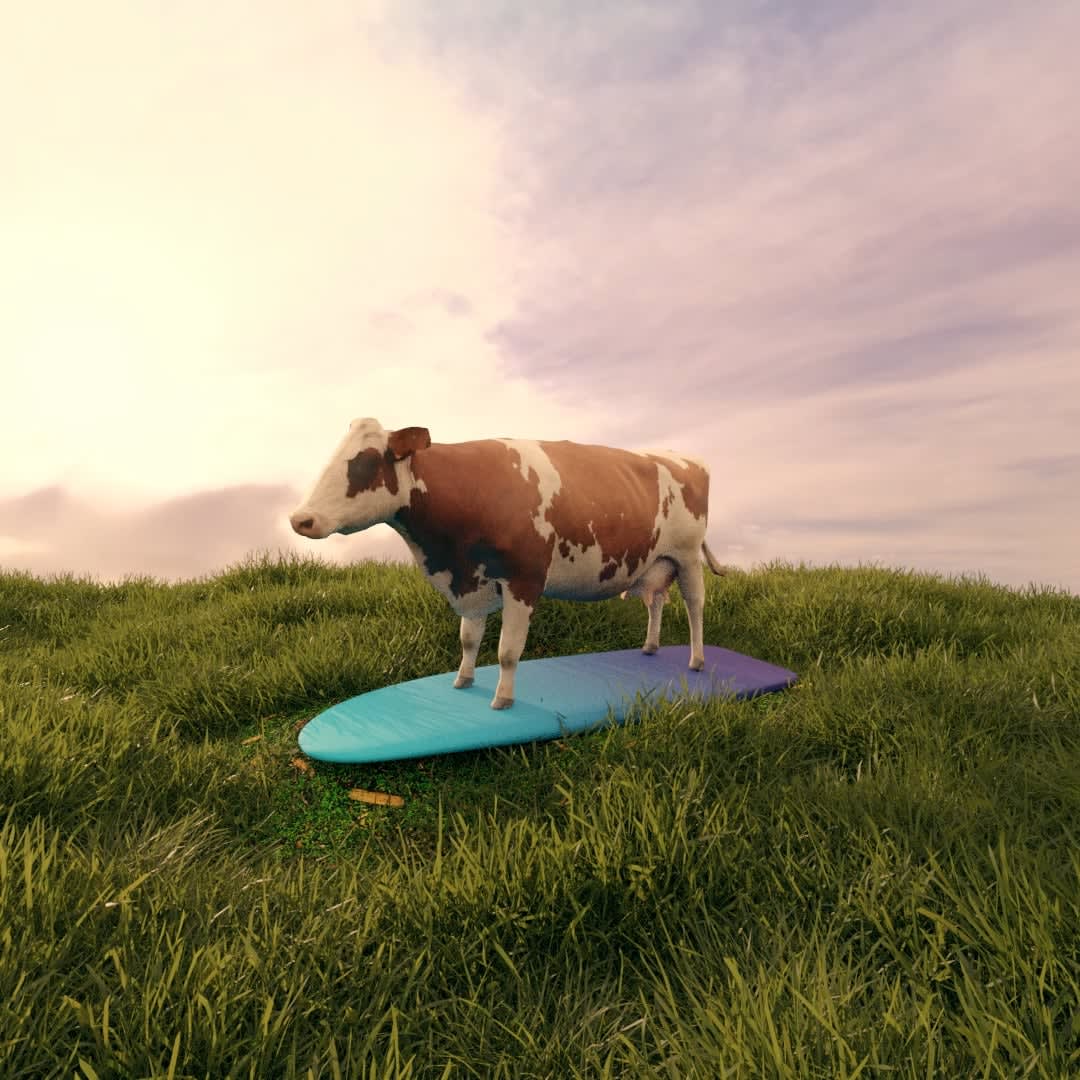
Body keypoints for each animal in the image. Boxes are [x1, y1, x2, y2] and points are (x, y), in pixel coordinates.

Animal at [289, 418, 727, 710]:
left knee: (695, 606)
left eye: (363, 462)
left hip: (687, 556)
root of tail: (683, 457)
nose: (300, 519)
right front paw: (463, 680)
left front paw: (502, 699)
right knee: (656, 601)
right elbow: (469, 638)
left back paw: (697, 661)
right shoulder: (471, 581)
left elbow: (506, 651)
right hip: (658, 562)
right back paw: (650, 647)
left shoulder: (523, 579)